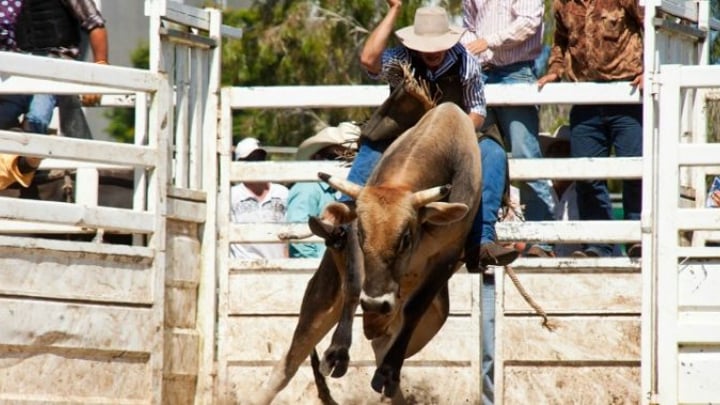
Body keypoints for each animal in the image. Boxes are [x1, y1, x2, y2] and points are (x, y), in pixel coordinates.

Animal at [249, 101, 481, 404]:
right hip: (319, 302)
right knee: (287, 365)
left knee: (386, 349)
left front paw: (389, 372)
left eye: (406, 237)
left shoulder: (449, 256)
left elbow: (415, 309)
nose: (375, 304)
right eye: (362, 234)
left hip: (427, 324)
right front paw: (338, 353)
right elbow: (353, 285)